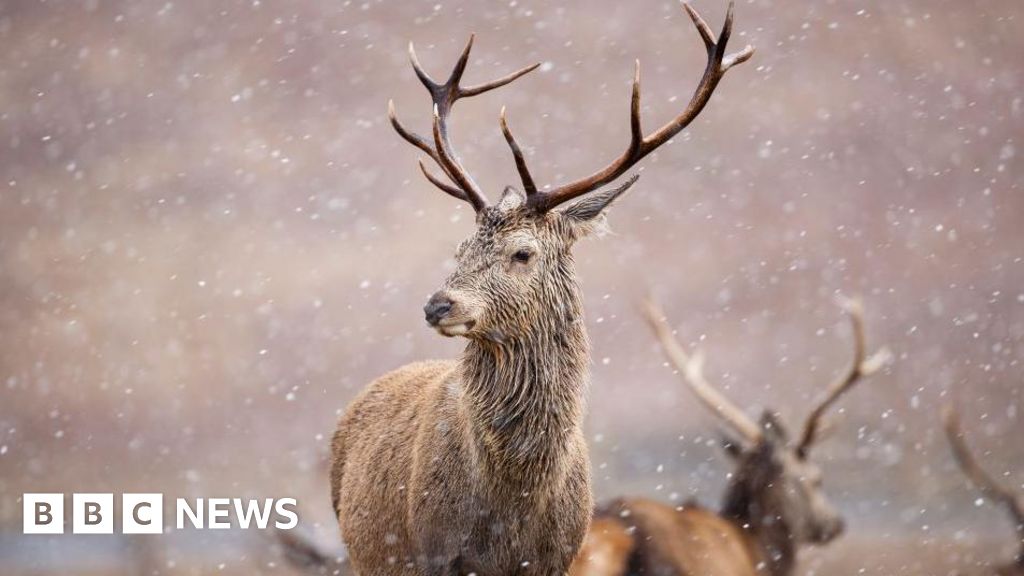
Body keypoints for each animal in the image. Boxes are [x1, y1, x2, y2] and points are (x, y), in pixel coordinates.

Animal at [329, 3, 754, 575]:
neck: (514, 500)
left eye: (522, 252)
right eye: (460, 248)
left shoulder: (561, 555)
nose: (437, 305)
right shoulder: (435, 553)